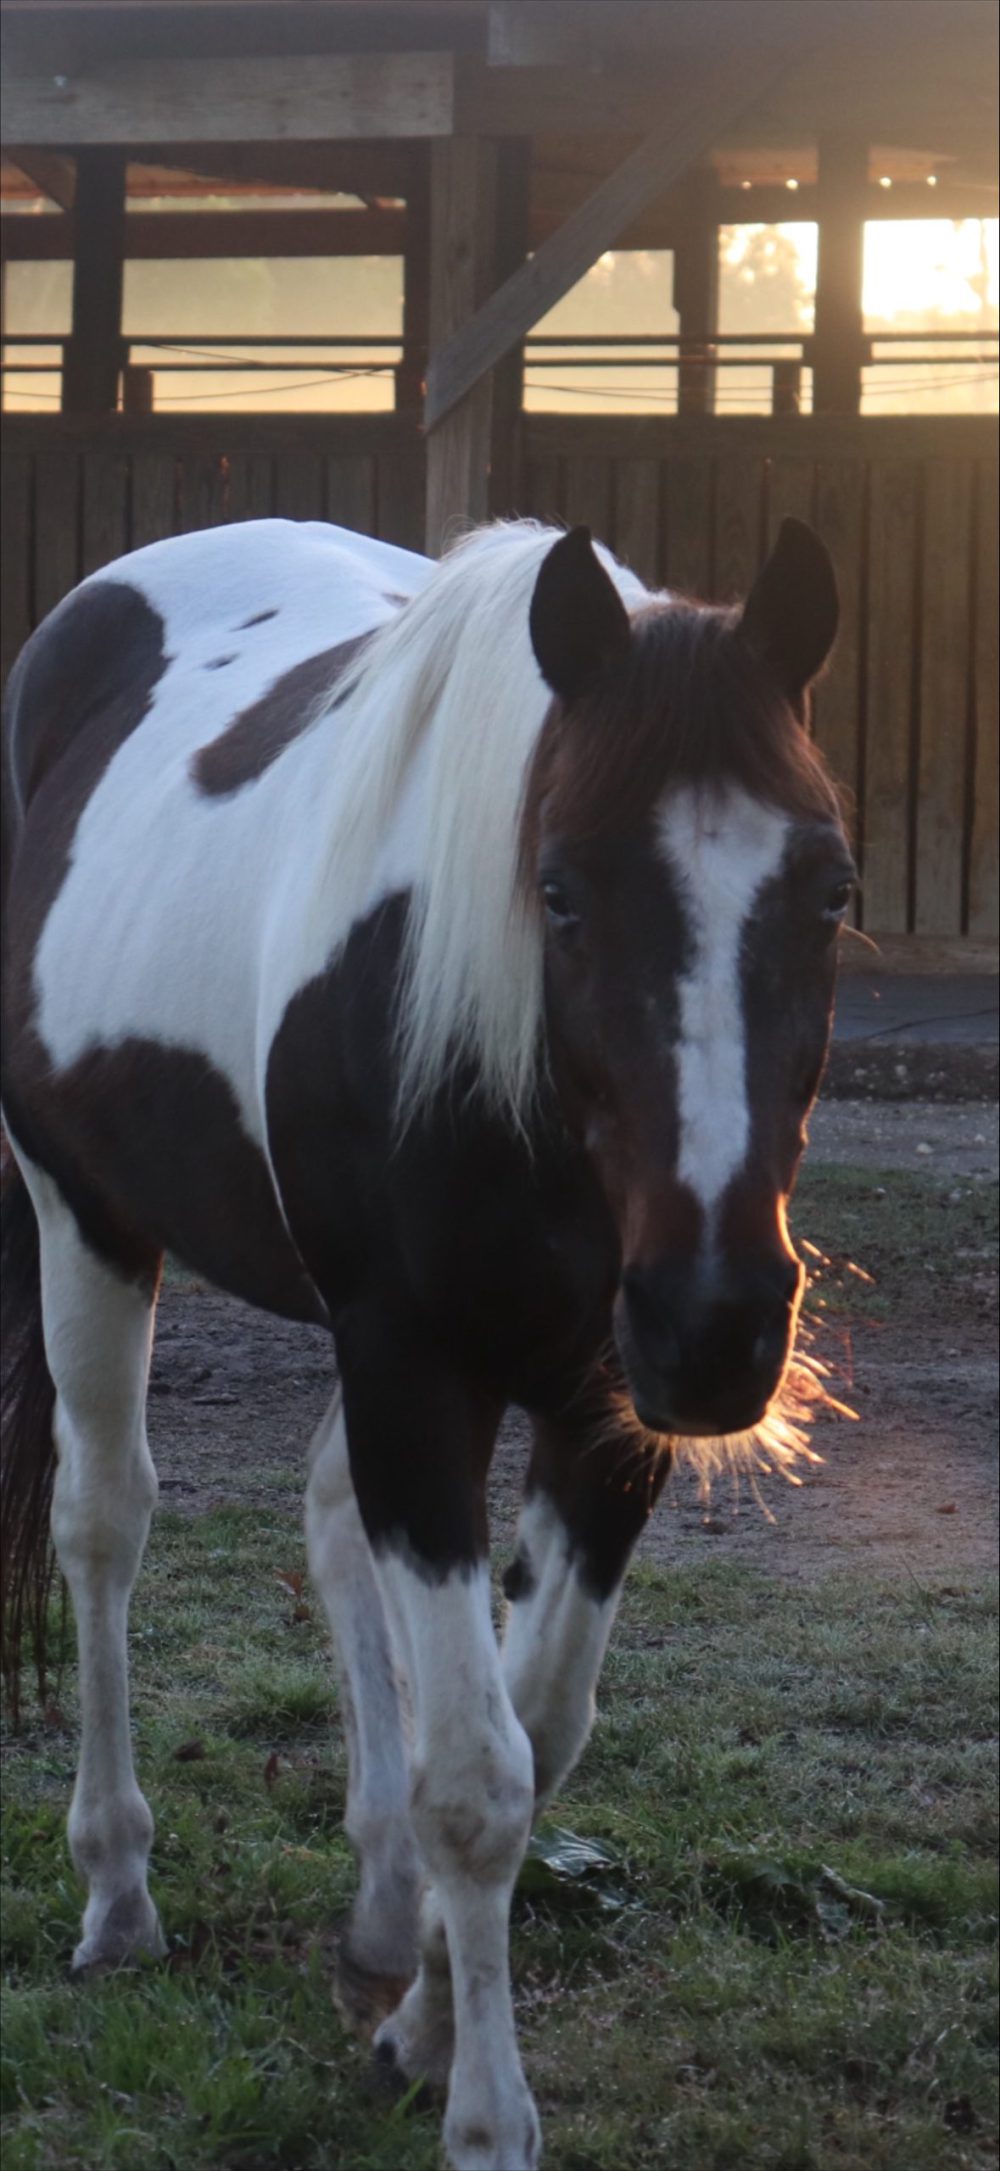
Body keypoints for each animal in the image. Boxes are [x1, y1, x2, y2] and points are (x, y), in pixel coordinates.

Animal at [1, 511, 851, 2171]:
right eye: (562, 889)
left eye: (830, 888)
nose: (718, 1323)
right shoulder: (413, 1360)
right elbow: (477, 1774)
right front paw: (484, 2108)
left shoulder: (598, 1408)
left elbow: (542, 1731)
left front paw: (424, 2019)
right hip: (85, 1216)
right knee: (105, 1522)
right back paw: (118, 1887)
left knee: (333, 1524)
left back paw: (386, 1910)